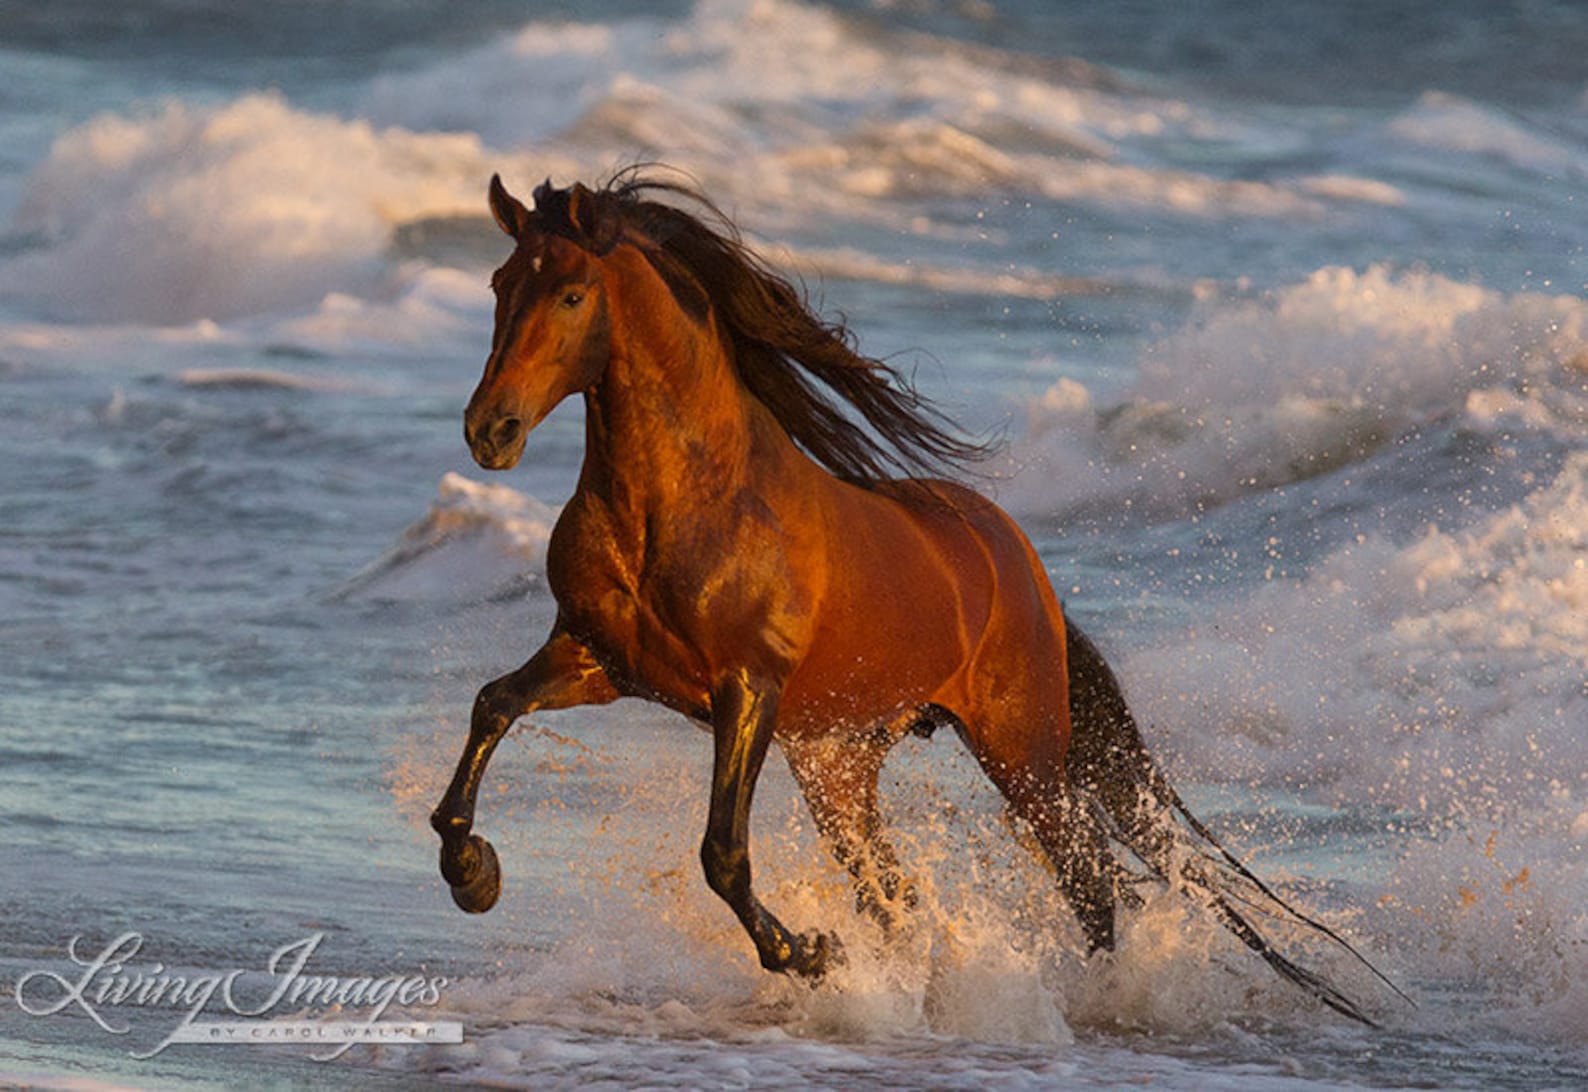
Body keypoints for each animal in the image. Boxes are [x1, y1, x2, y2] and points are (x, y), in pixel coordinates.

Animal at [429, 170, 1402, 1025]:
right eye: (500, 283)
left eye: (570, 295)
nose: (489, 431)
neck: (688, 500)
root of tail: (1020, 562)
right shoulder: (598, 657)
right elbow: (490, 708)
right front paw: (473, 870)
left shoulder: (746, 689)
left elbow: (723, 854)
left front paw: (809, 954)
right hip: (841, 765)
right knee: (897, 890)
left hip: (1022, 754)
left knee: (1087, 880)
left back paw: (1090, 1000)